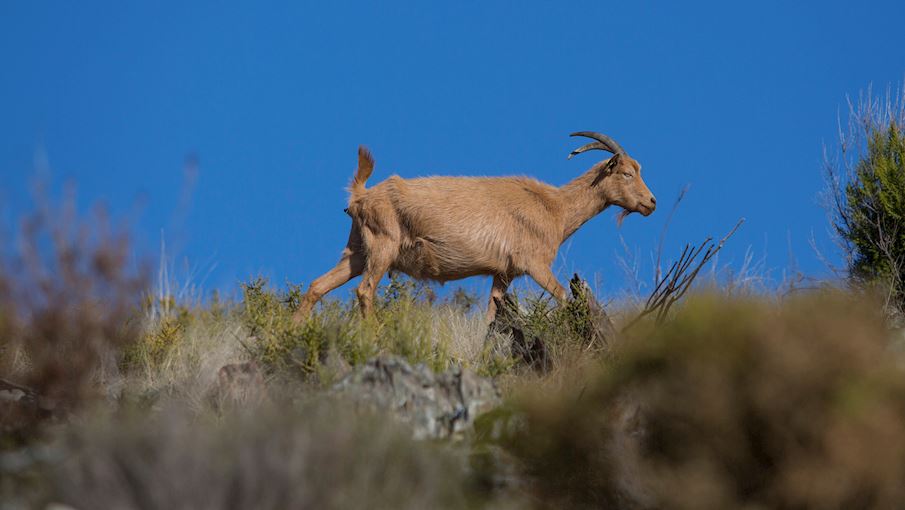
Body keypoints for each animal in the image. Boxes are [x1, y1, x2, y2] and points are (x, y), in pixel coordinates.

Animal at [292, 132, 656, 323]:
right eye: (626, 173)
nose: (651, 203)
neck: (554, 208)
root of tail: (362, 195)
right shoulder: (535, 264)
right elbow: (564, 296)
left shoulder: (504, 273)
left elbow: (492, 313)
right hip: (383, 246)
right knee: (364, 290)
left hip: (356, 251)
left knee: (318, 285)